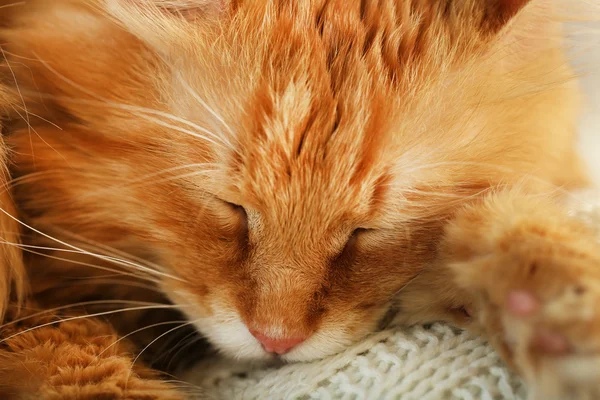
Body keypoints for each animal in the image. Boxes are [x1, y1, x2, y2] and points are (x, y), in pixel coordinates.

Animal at [0, 0, 596, 398]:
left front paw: (560, 307)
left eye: (366, 232)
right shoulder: (42, 318)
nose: (276, 340)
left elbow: (499, 227)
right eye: (231, 207)